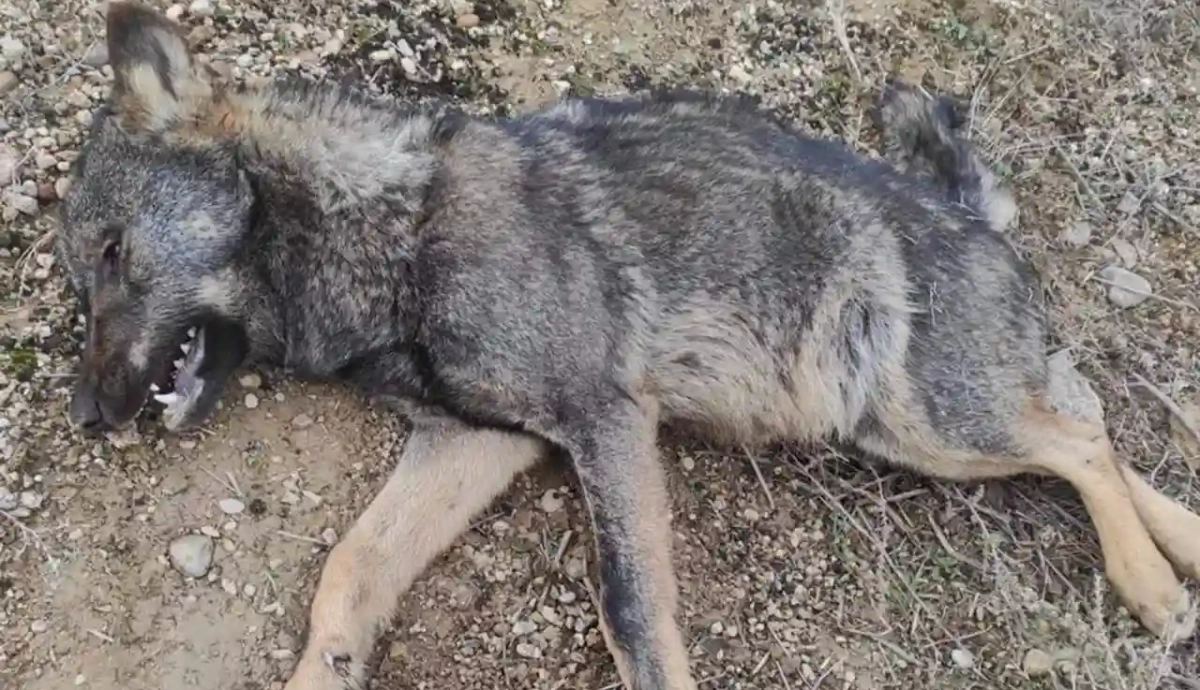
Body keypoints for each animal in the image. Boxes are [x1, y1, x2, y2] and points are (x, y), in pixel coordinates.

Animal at [56, 3, 1200, 689]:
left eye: (113, 256)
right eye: (78, 278)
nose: (85, 416)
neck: (398, 229)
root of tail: (968, 214)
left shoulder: (603, 423)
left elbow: (632, 613)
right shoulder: (477, 441)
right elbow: (350, 569)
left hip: (929, 422)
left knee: (1080, 437)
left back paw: (1148, 585)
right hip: (908, 428)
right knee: (1085, 420)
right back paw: (1178, 547)